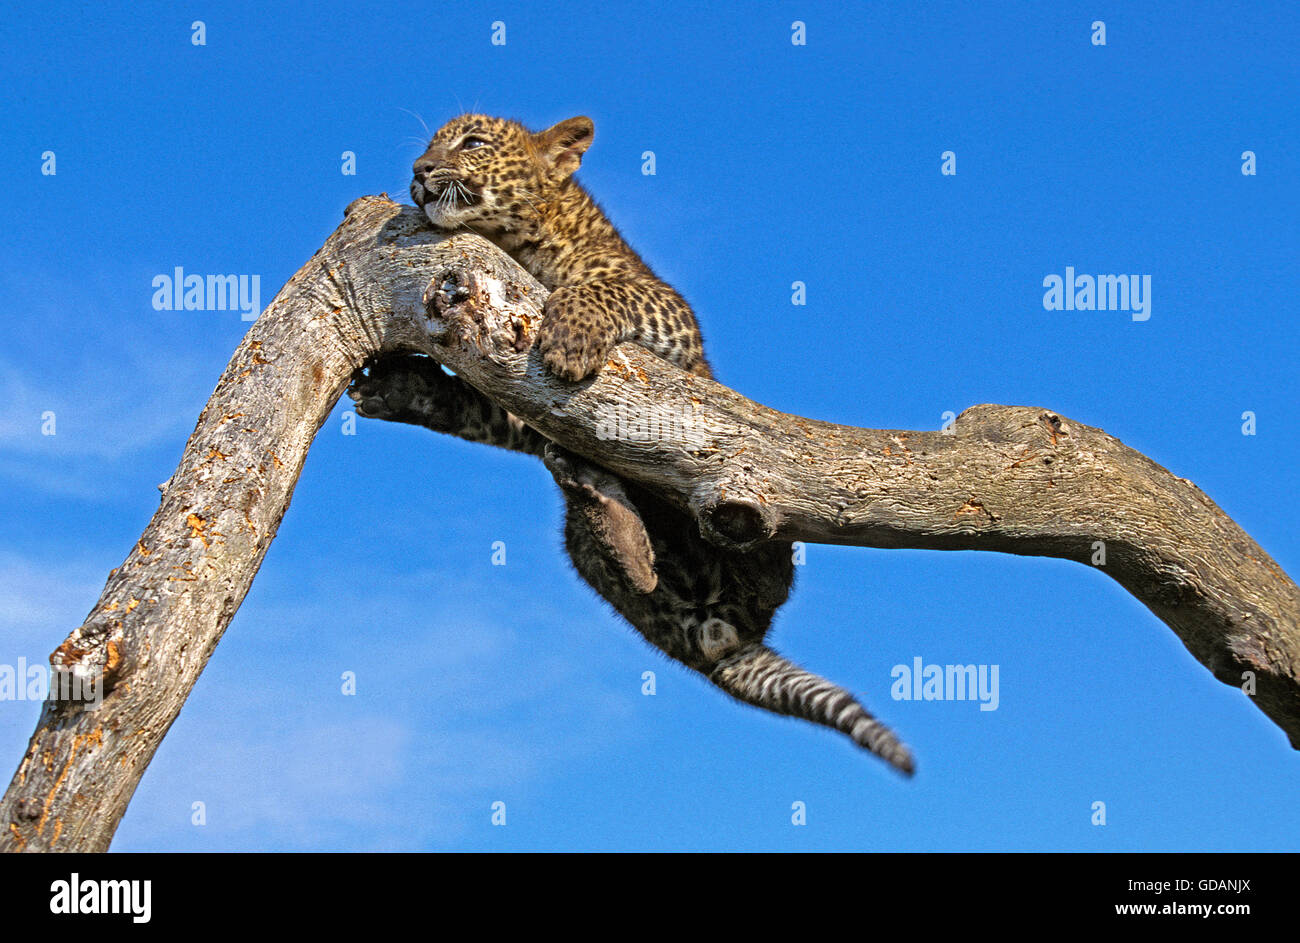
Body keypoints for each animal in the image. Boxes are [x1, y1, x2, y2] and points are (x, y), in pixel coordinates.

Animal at [351, 113, 914, 774]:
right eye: (433, 145)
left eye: (472, 143)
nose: (419, 169)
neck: (525, 245)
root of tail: (722, 640)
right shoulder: (512, 372)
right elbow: (490, 410)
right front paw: (405, 388)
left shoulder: (670, 319)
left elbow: (610, 293)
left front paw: (569, 337)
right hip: (591, 552)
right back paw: (616, 526)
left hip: (756, 532)